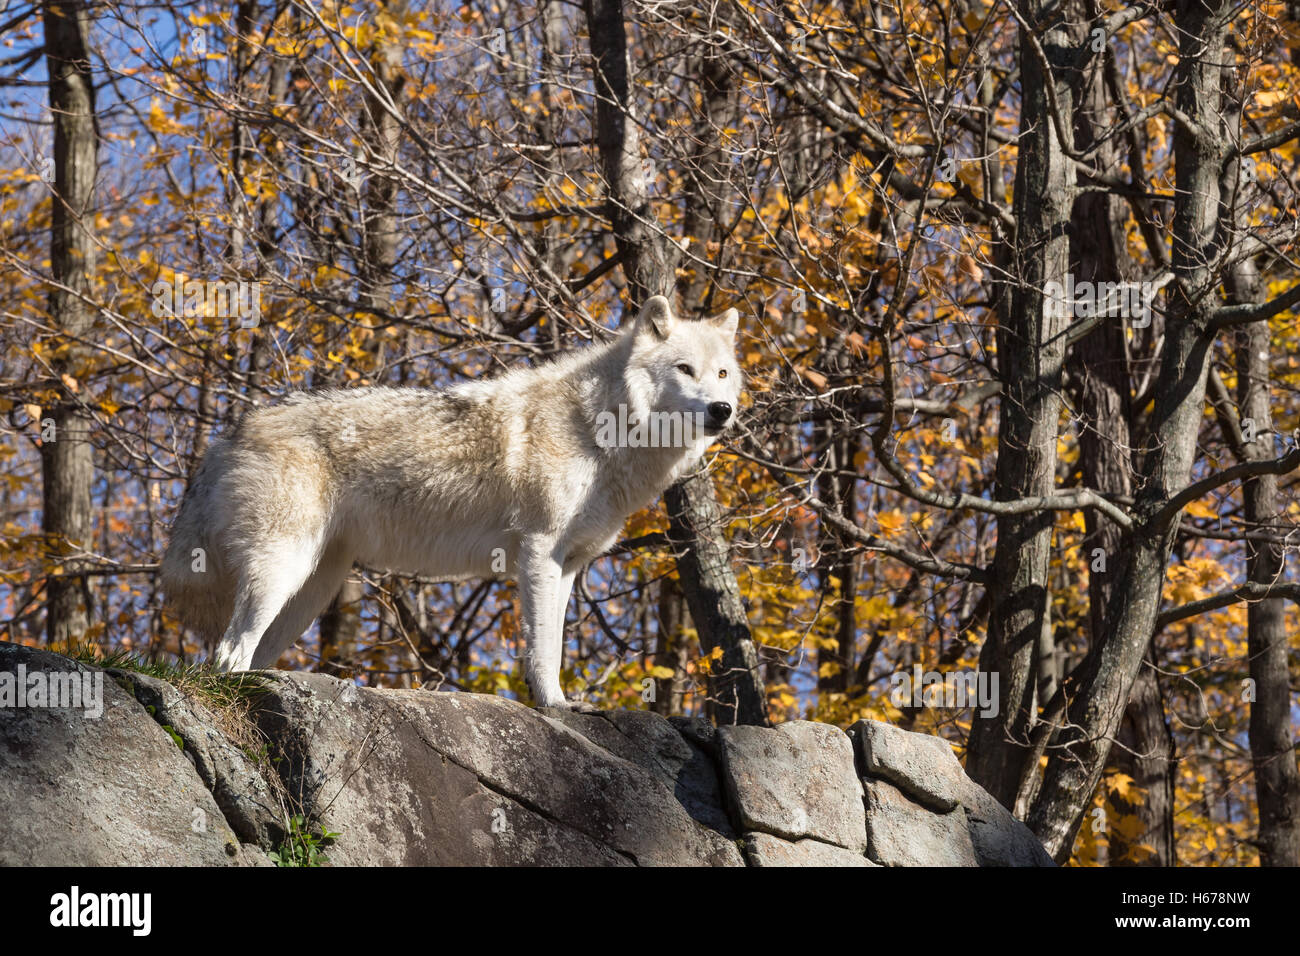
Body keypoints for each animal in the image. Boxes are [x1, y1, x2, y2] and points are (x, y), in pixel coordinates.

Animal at [161, 296, 741, 708]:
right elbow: (543, 648)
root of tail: (231, 432)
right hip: (283, 569)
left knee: (244, 652)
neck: (599, 426)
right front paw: (555, 706)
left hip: (311, 590)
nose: (723, 410)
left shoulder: (570, 564)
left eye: (722, 374)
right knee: (226, 654)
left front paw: (562, 703)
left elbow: (554, 643)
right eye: (685, 369)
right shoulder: (538, 553)